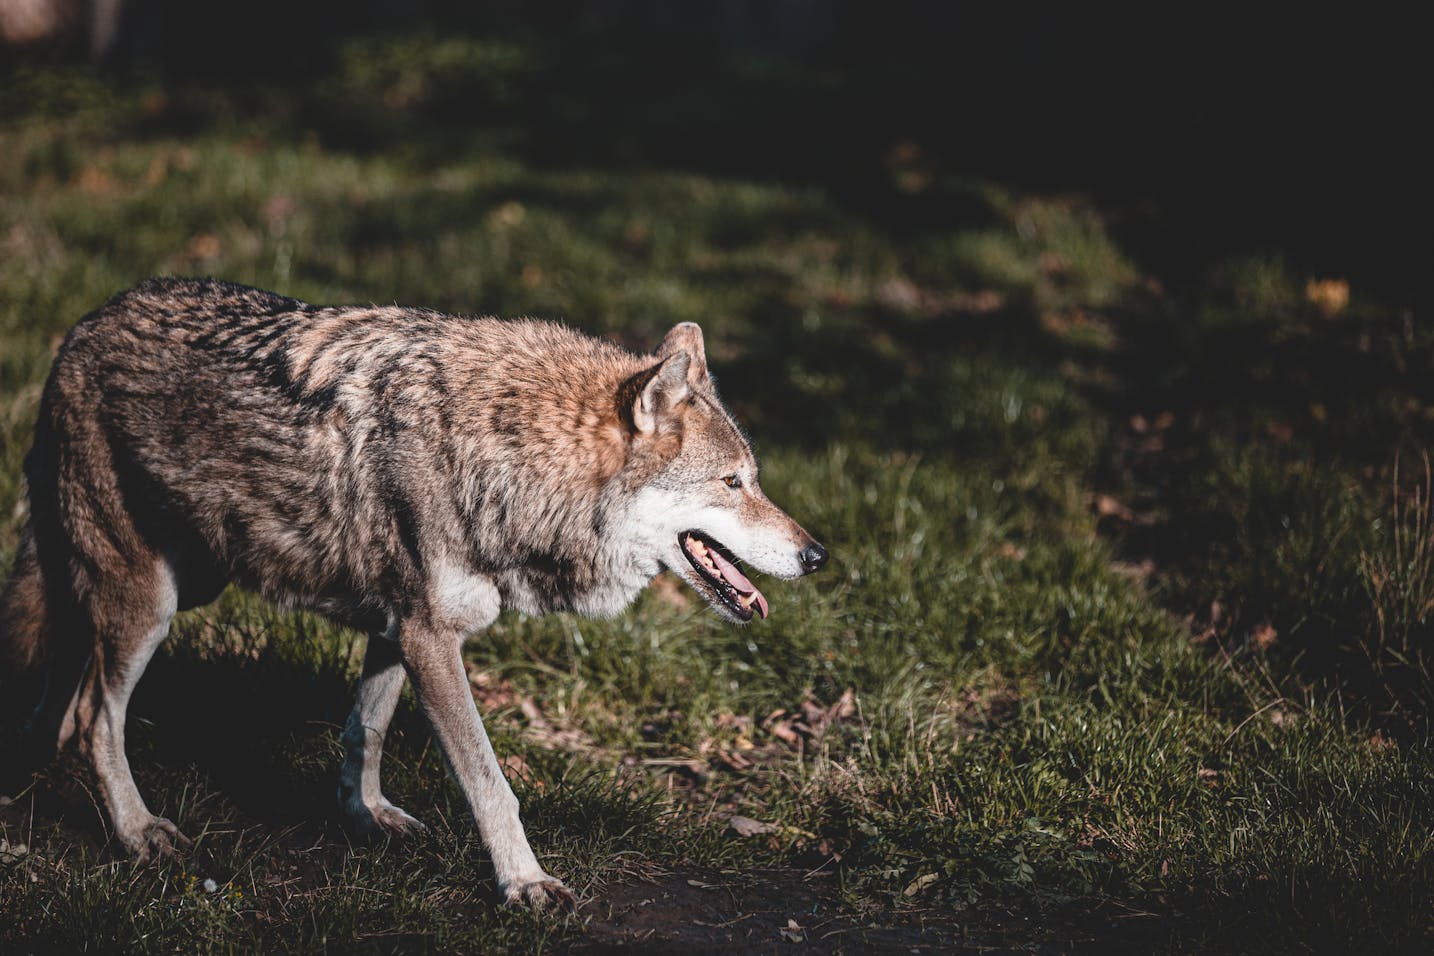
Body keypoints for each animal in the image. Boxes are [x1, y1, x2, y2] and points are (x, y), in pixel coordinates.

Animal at [0, 277, 827, 908]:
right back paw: (135, 831)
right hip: (150, 602)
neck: (509, 458)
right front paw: (524, 885)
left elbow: (363, 731)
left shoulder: (397, 628)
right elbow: (491, 783)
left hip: (174, 586)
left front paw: (365, 818)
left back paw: (40, 756)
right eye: (734, 483)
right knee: (96, 716)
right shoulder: (432, 639)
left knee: (67, 681)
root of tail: (81, 327)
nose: (817, 555)